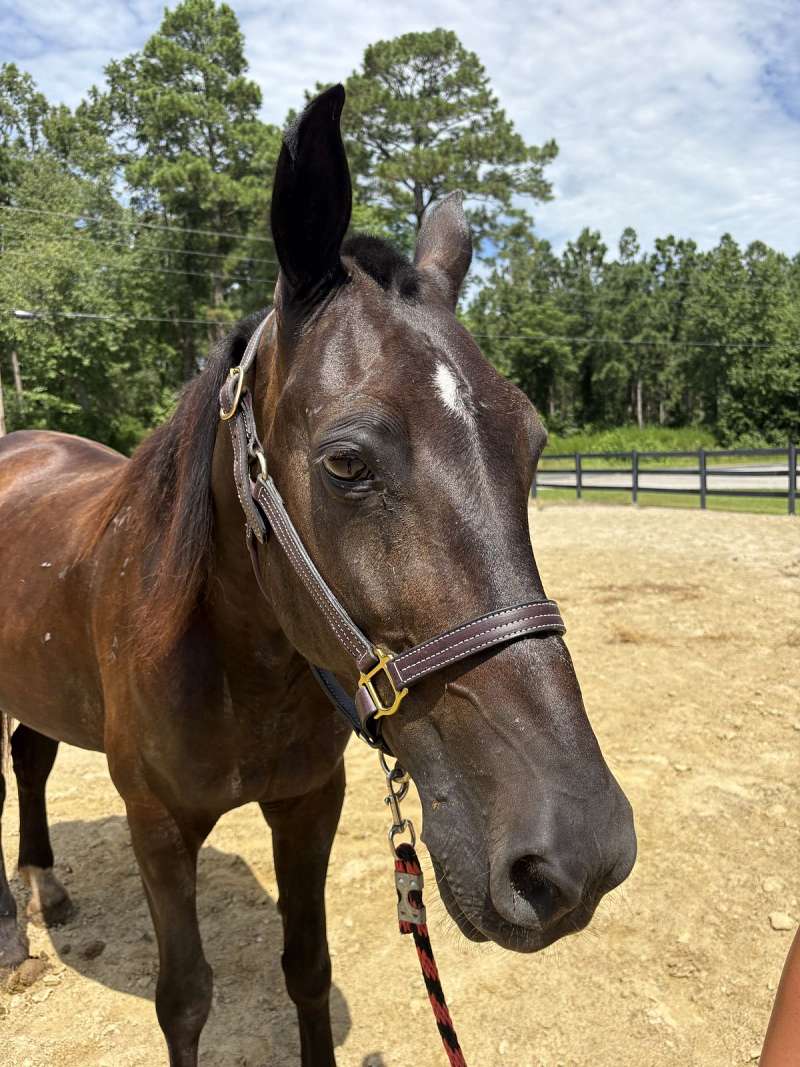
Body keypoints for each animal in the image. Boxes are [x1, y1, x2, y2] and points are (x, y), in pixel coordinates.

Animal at [0, 84, 636, 1066]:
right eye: (345, 463)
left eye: (532, 447)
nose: (580, 853)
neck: (238, 666)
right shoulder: (155, 825)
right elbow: (184, 999)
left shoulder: (308, 805)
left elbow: (307, 968)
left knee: (31, 756)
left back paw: (47, 885)